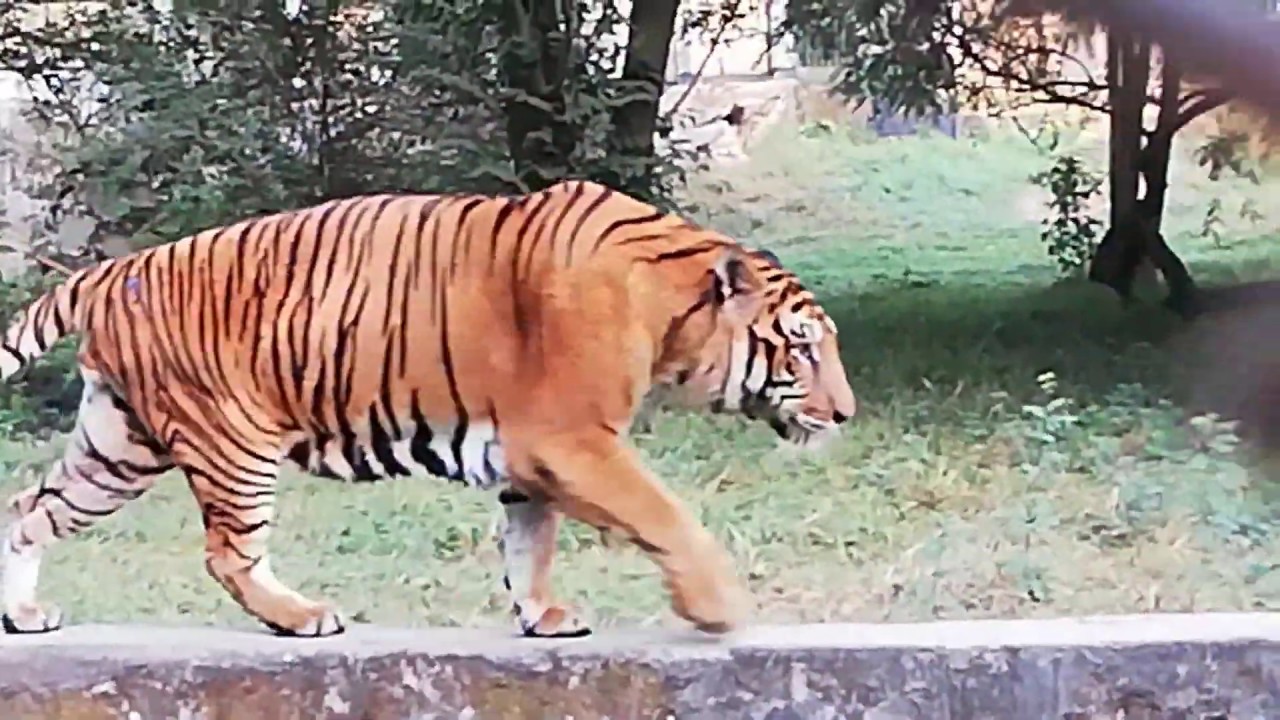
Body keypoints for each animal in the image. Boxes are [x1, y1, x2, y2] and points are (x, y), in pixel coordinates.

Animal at [0, 179, 856, 639]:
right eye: (803, 348)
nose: (847, 414)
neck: (673, 309)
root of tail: (112, 271)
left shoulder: (530, 458)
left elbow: (530, 542)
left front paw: (542, 616)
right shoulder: (573, 439)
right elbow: (666, 515)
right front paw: (720, 608)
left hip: (117, 448)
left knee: (26, 509)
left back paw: (24, 615)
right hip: (229, 442)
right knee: (227, 553)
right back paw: (302, 615)